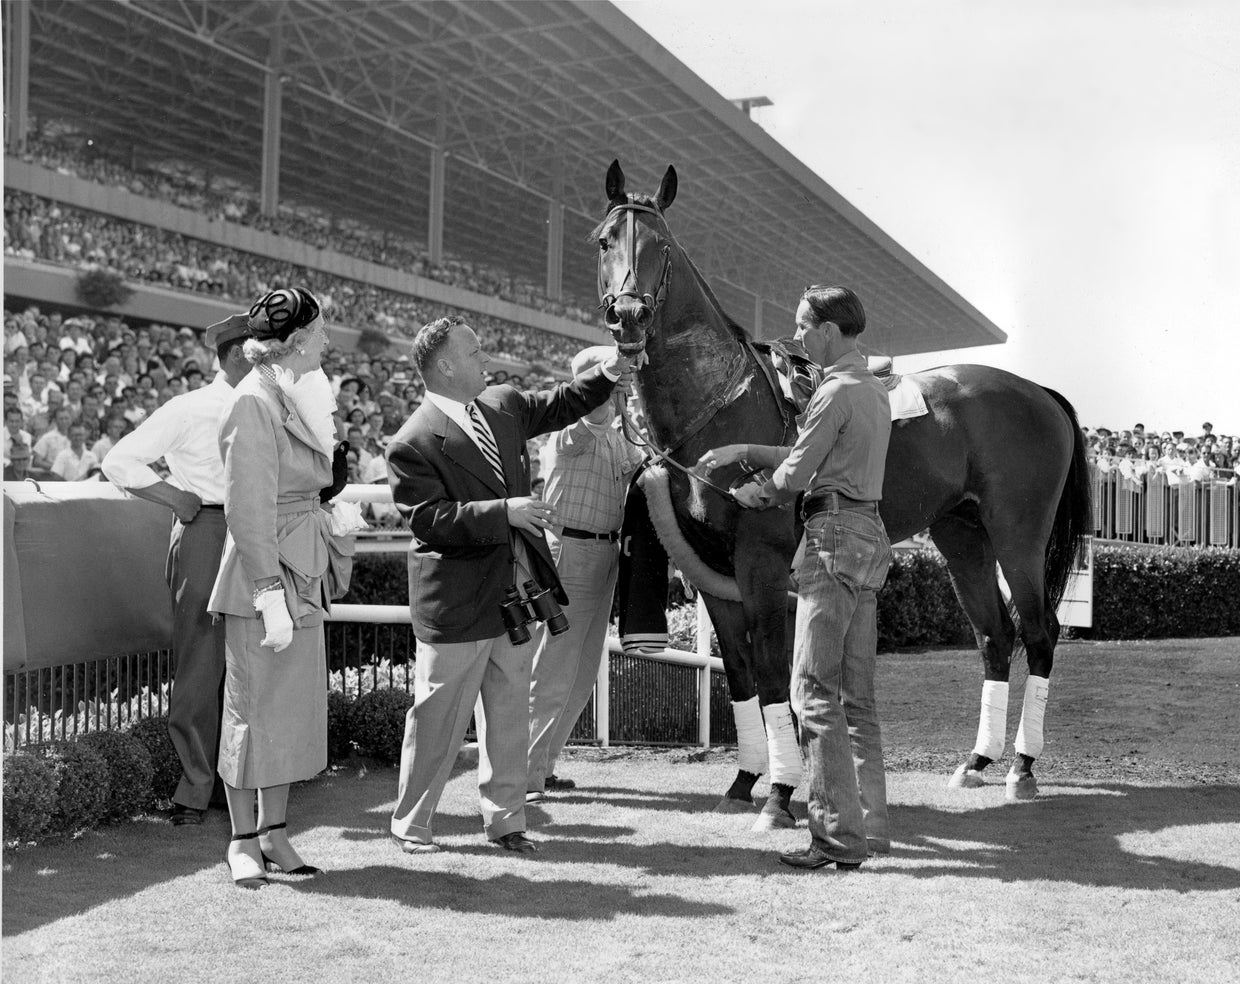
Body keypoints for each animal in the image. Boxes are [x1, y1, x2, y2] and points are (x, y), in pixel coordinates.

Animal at [595, 159, 1091, 826]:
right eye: (604, 240)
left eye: (662, 246)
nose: (628, 316)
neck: (720, 404)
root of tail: (1040, 392)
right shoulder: (707, 567)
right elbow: (741, 674)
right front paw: (743, 778)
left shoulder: (759, 561)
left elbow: (772, 672)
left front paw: (779, 793)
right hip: (963, 537)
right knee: (995, 636)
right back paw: (976, 762)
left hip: (1019, 534)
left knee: (1039, 634)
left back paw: (1022, 768)